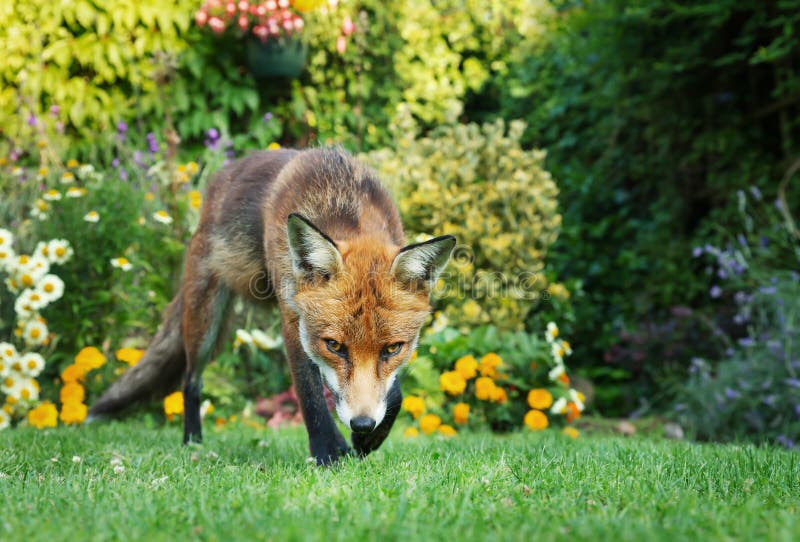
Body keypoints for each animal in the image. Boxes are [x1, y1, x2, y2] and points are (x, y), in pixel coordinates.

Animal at [88, 147, 455, 465]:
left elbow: (394, 392)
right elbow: (310, 397)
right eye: (334, 346)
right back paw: (192, 442)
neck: (341, 199)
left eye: (392, 349)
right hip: (205, 321)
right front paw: (329, 454)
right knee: (190, 381)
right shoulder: (294, 321)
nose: (362, 424)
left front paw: (368, 440)